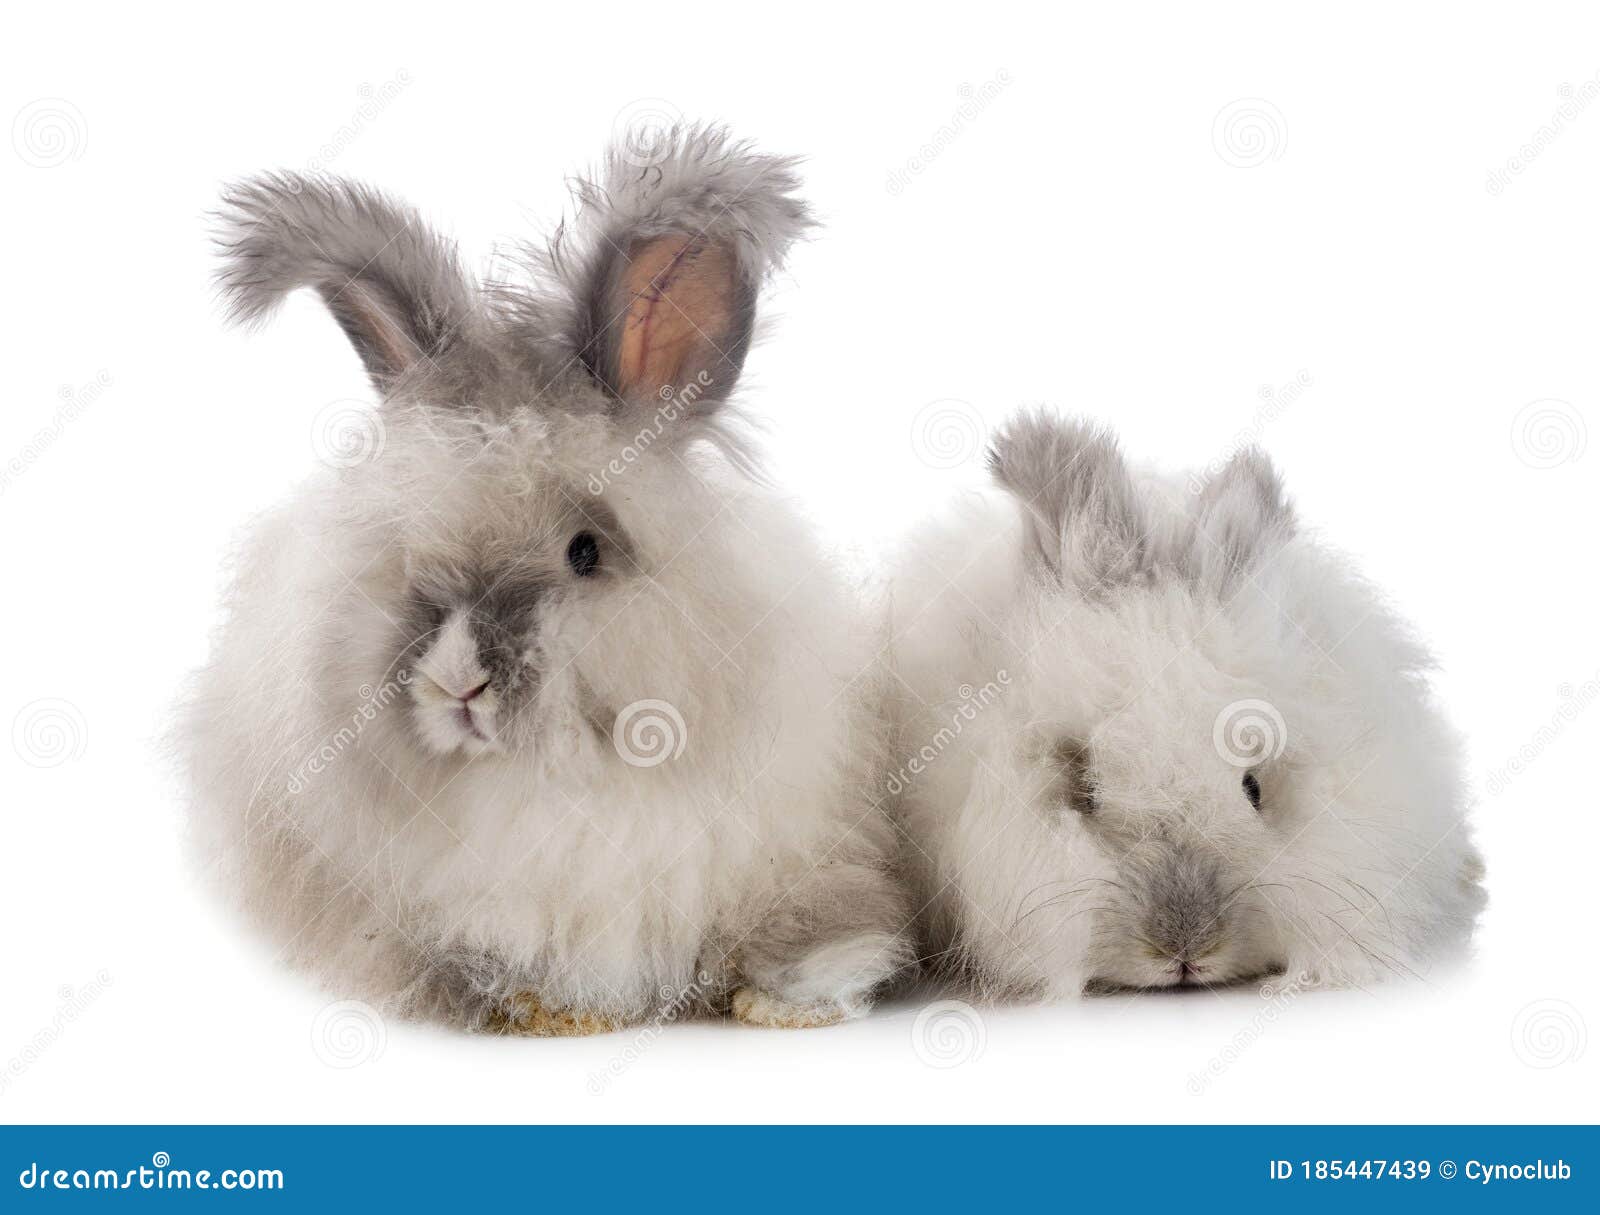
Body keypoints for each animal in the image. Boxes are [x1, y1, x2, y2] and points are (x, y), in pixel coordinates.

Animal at [179, 126, 913, 1034]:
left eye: (585, 552)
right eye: (413, 556)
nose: (458, 681)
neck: (554, 791)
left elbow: (819, 932)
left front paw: (782, 1002)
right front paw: (546, 1008)